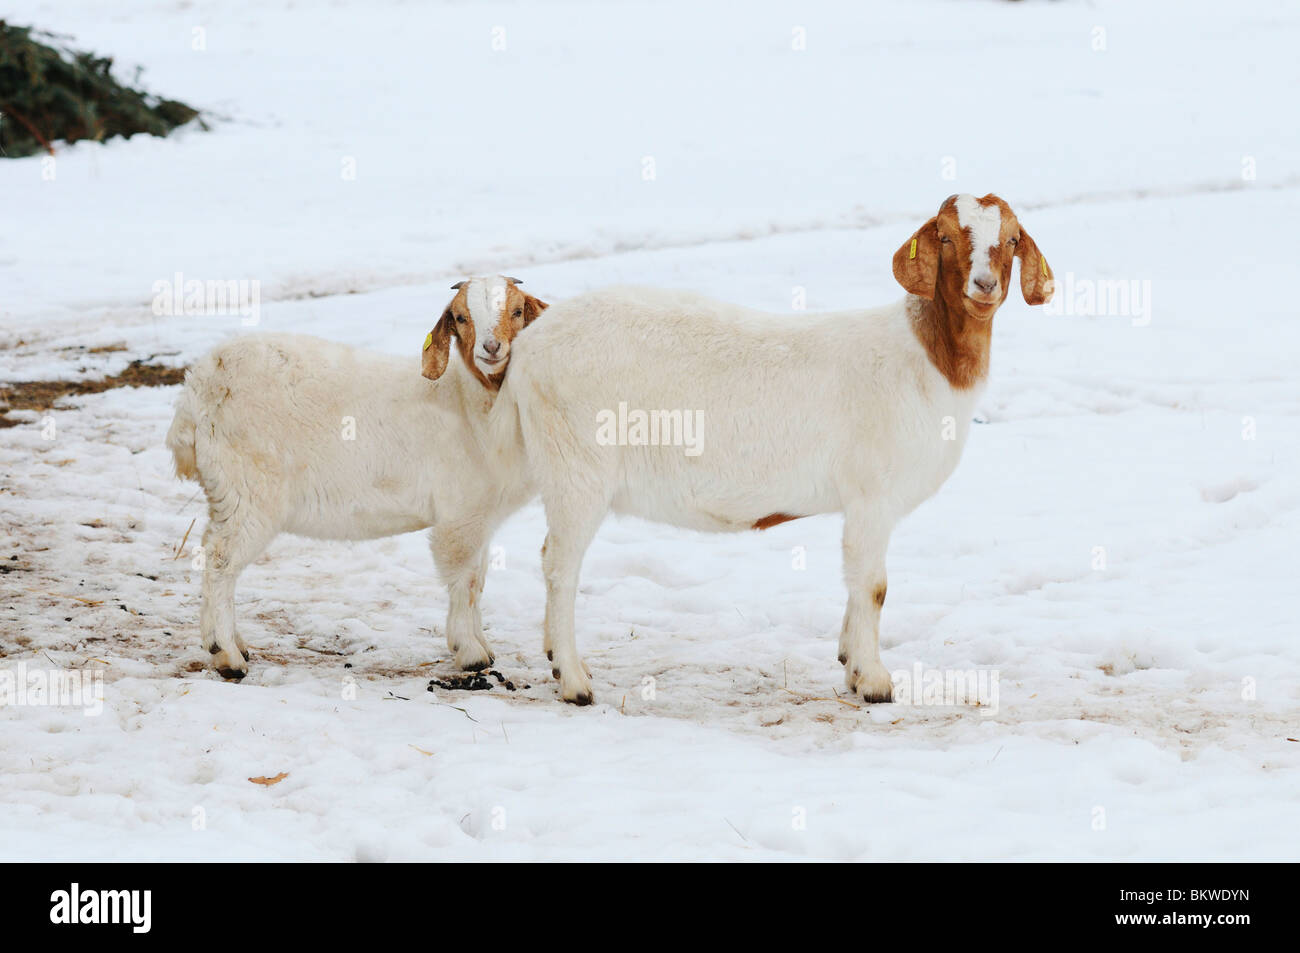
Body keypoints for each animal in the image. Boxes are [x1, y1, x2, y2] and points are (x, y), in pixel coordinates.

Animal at [167, 275, 546, 678]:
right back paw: (226, 655)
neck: (471, 400)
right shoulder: (460, 515)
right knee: (220, 560)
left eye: (517, 310)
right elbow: (465, 580)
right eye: (460, 317)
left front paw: (484, 647)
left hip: (227, 492)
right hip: (248, 491)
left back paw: (235, 644)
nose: (491, 348)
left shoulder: (481, 515)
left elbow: (479, 580)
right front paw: (471, 653)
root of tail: (198, 388)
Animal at [490, 194, 1053, 704]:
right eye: (946, 237)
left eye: (1012, 239)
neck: (928, 360)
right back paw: (574, 681)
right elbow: (873, 585)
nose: (984, 286)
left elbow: (856, 582)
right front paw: (873, 682)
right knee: (560, 565)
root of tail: (529, 349)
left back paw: (555, 658)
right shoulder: (872, 495)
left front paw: (849, 662)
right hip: (576, 467)